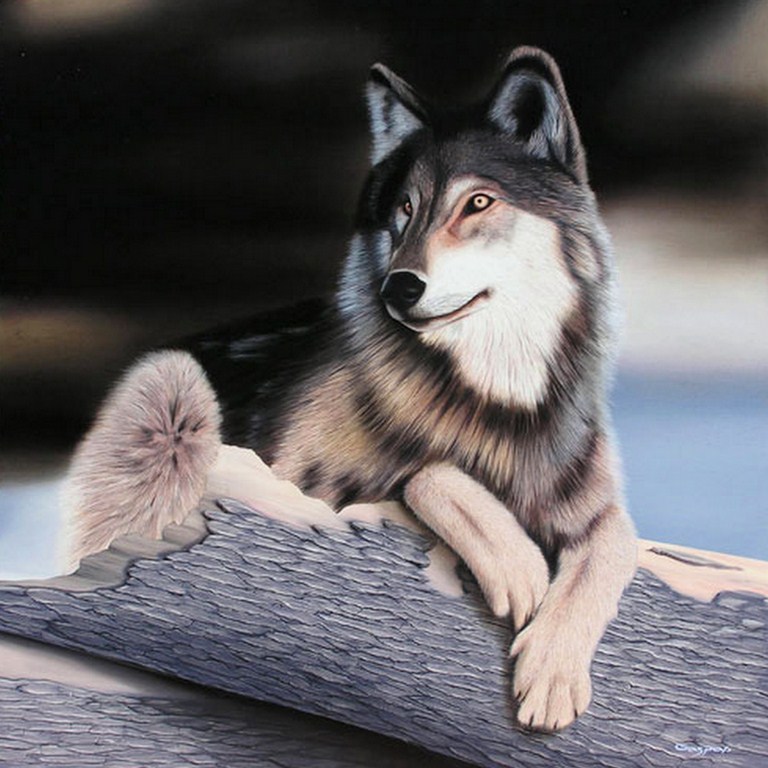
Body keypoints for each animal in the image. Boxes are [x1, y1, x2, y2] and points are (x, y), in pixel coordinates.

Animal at [67, 46, 637, 732]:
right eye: (403, 211)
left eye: (477, 203)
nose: (400, 287)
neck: (493, 402)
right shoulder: (305, 477)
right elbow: (429, 472)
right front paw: (520, 567)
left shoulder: (596, 508)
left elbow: (608, 554)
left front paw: (552, 675)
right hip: (174, 399)